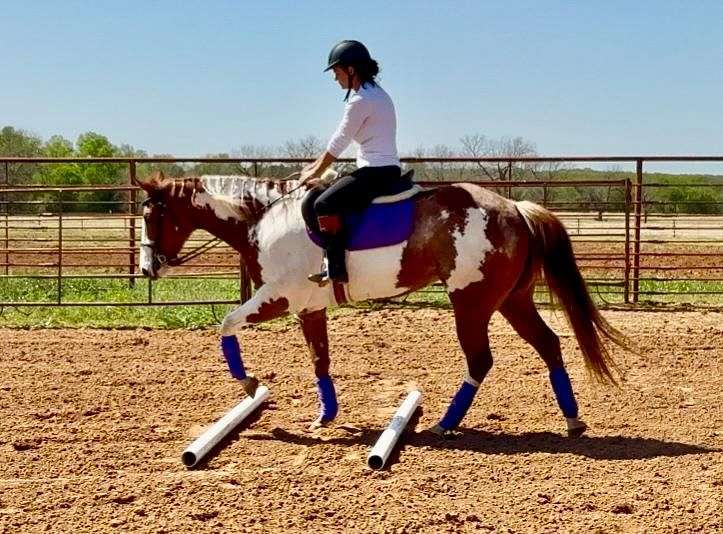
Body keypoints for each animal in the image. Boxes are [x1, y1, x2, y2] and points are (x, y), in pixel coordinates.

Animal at [134, 171, 628, 435]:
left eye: (152, 216)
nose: (145, 269)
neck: (265, 218)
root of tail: (515, 209)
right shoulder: (309, 307)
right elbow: (320, 360)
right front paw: (325, 416)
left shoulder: (278, 297)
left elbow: (226, 324)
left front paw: (249, 382)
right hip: (511, 301)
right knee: (549, 345)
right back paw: (572, 421)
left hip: (471, 303)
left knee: (481, 360)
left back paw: (446, 423)